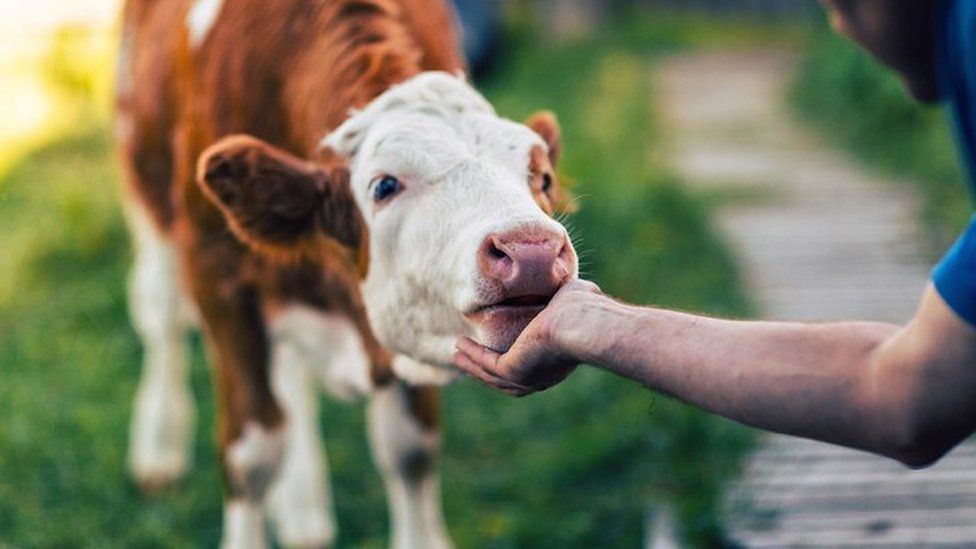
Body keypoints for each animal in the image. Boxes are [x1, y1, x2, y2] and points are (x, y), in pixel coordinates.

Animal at [115, 0, 578, 547]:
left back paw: (302, 510)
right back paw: (160, 446)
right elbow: (252, 456)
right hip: (146, 179)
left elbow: (409, 449)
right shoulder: (218, 273)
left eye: (542, 177)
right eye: (384, 186)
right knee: (162, 315)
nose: (531, 250)